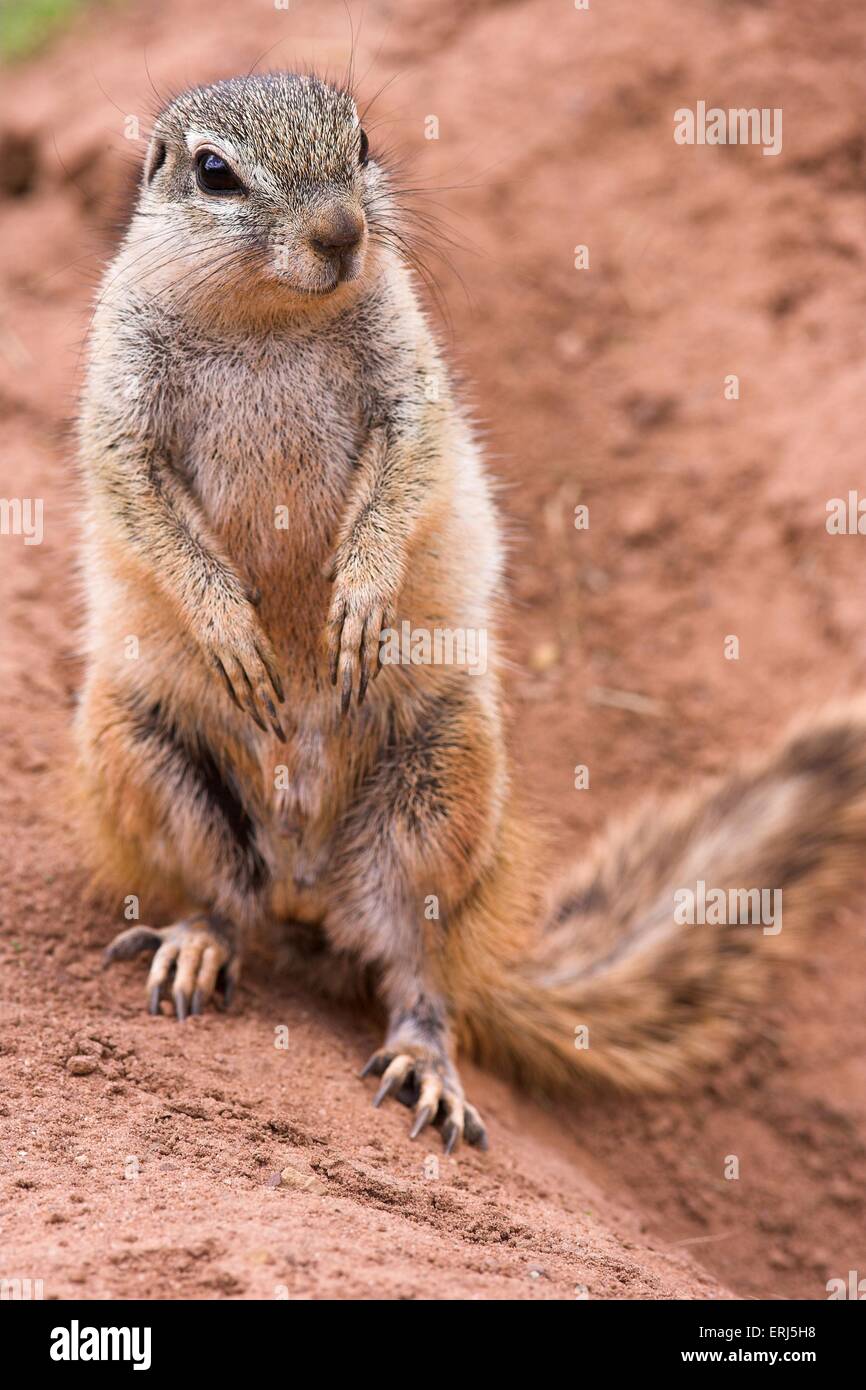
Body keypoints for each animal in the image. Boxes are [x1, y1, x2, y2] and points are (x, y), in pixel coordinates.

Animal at [75, 71, 866, 1153]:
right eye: (213, 173)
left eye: (363, 142)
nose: (342, 233)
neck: (265, 319)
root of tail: (304, 881)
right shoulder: (120, 411)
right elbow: (148, 515)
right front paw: (231, 627)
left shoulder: (410, 383)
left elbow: (404, 475)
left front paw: (359, 600)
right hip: (146, 753)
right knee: (224, 902)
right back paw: (197, 945)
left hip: (438, 790)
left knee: (416, 969)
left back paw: (425, 1062)